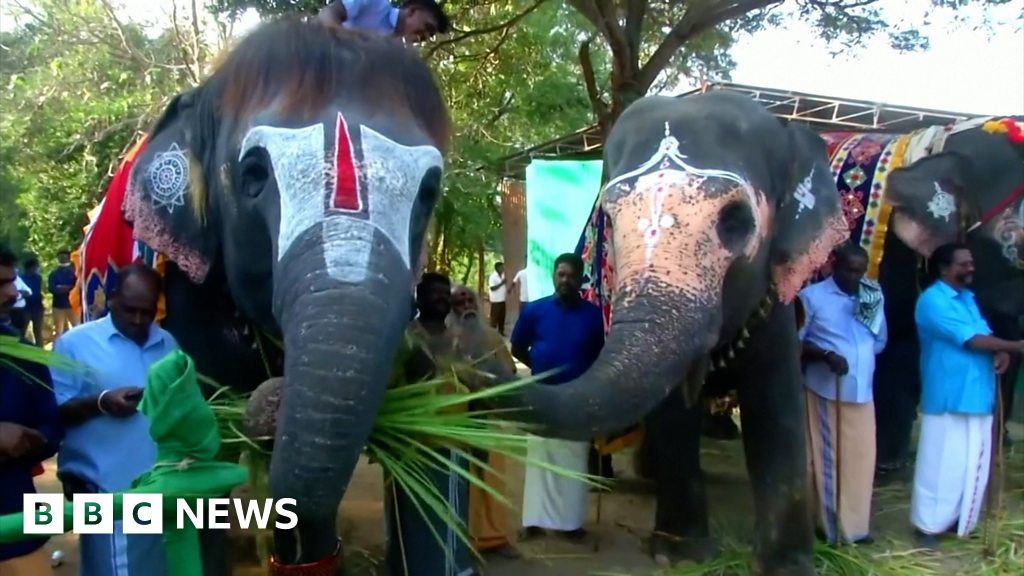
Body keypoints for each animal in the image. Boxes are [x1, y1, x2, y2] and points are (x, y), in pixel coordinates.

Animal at [502, 90, 851, 575]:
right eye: (609, 219)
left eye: (736, 219)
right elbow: (672, 413)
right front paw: (681, 553)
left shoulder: (774, 302)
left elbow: (776, 406)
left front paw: (788, 567)